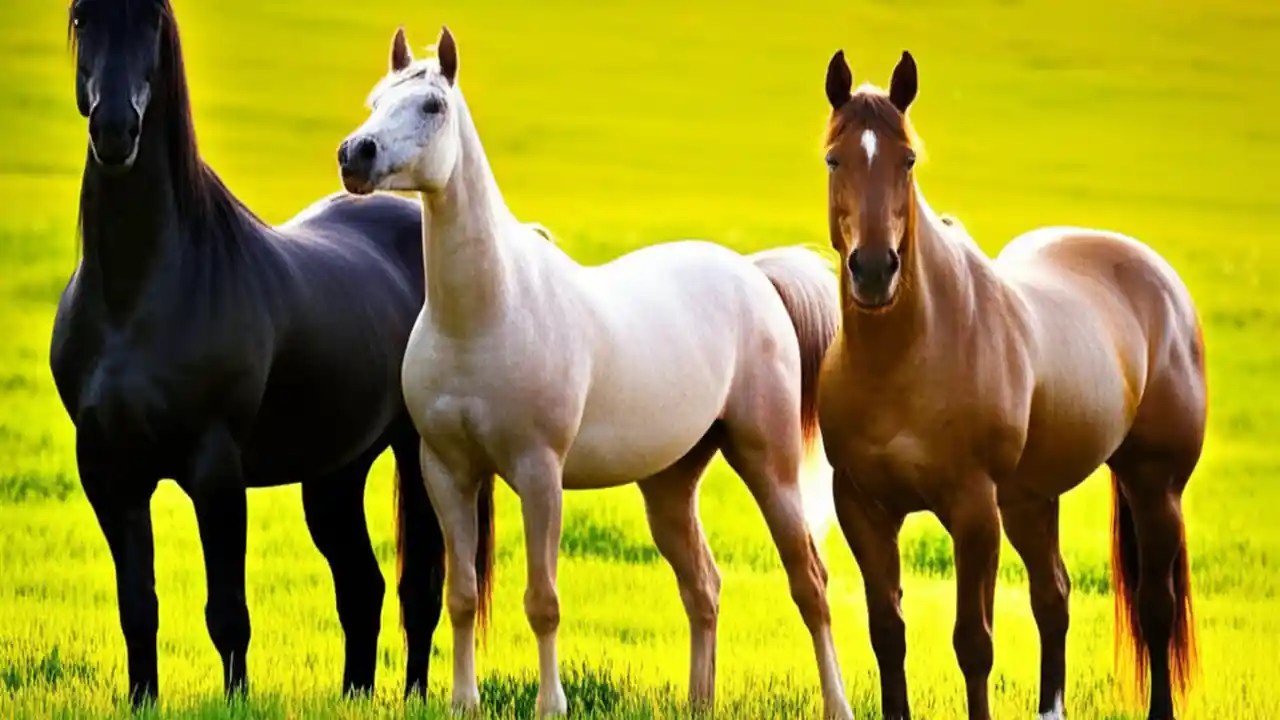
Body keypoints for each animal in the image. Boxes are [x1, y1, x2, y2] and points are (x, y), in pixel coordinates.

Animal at [50, 0, 467, 705]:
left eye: (152, 22)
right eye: (83, 17)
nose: (115, 130)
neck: (137, 295)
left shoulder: (215, 471)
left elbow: (227, 613)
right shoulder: (109, 475)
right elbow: (138, 607)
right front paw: (143, 699)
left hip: (416, 454)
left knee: (419, 590)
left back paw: (413, 696)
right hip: (335, 471)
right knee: (362, 586)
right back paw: (354, 695)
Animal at [335, 25, 855, 719]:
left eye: (432, 105)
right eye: (375, 102)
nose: (355, 155)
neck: (484, 314)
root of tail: (753, 273)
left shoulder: (538, 474)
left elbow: (543, 601)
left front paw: (550, 705)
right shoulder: (446, 471)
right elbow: (463, 596)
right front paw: (464, 702)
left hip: (767, 464)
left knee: (810, 582)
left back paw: (837, 704)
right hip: (670, 484)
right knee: (703, 586)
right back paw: (698, 702)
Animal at [816, 50, 1205, 720]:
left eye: (908, 159)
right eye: (834, 159)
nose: (872, 271)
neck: (906, 358)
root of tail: (1161, 279)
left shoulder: (974, 510)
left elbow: (973, 643)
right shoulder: (864, 509)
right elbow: (887, 634)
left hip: (1155, 485)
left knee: (1156, 608)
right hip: (1030, 500)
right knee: (1055, 596)